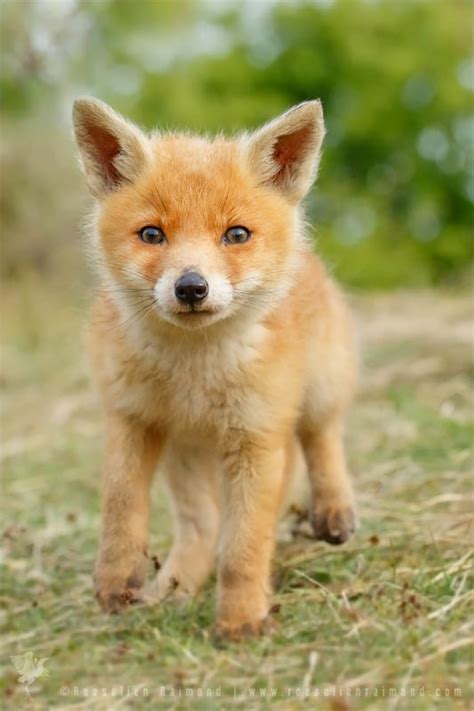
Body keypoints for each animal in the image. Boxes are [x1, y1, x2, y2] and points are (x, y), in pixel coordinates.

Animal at [72, 97, 358, 641]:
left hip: (320, 391)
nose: (191, 287)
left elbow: (243, 547)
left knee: (322, 438)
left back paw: (333, 510)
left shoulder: (257, 438)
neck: (194, 375)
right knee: (201, 525)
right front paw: (116, 579)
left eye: (236, 234)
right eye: (152, 235)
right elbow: (120, 507)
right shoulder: (131, 418)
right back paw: (174, 587)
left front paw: (241, 619)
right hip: (183, 452)